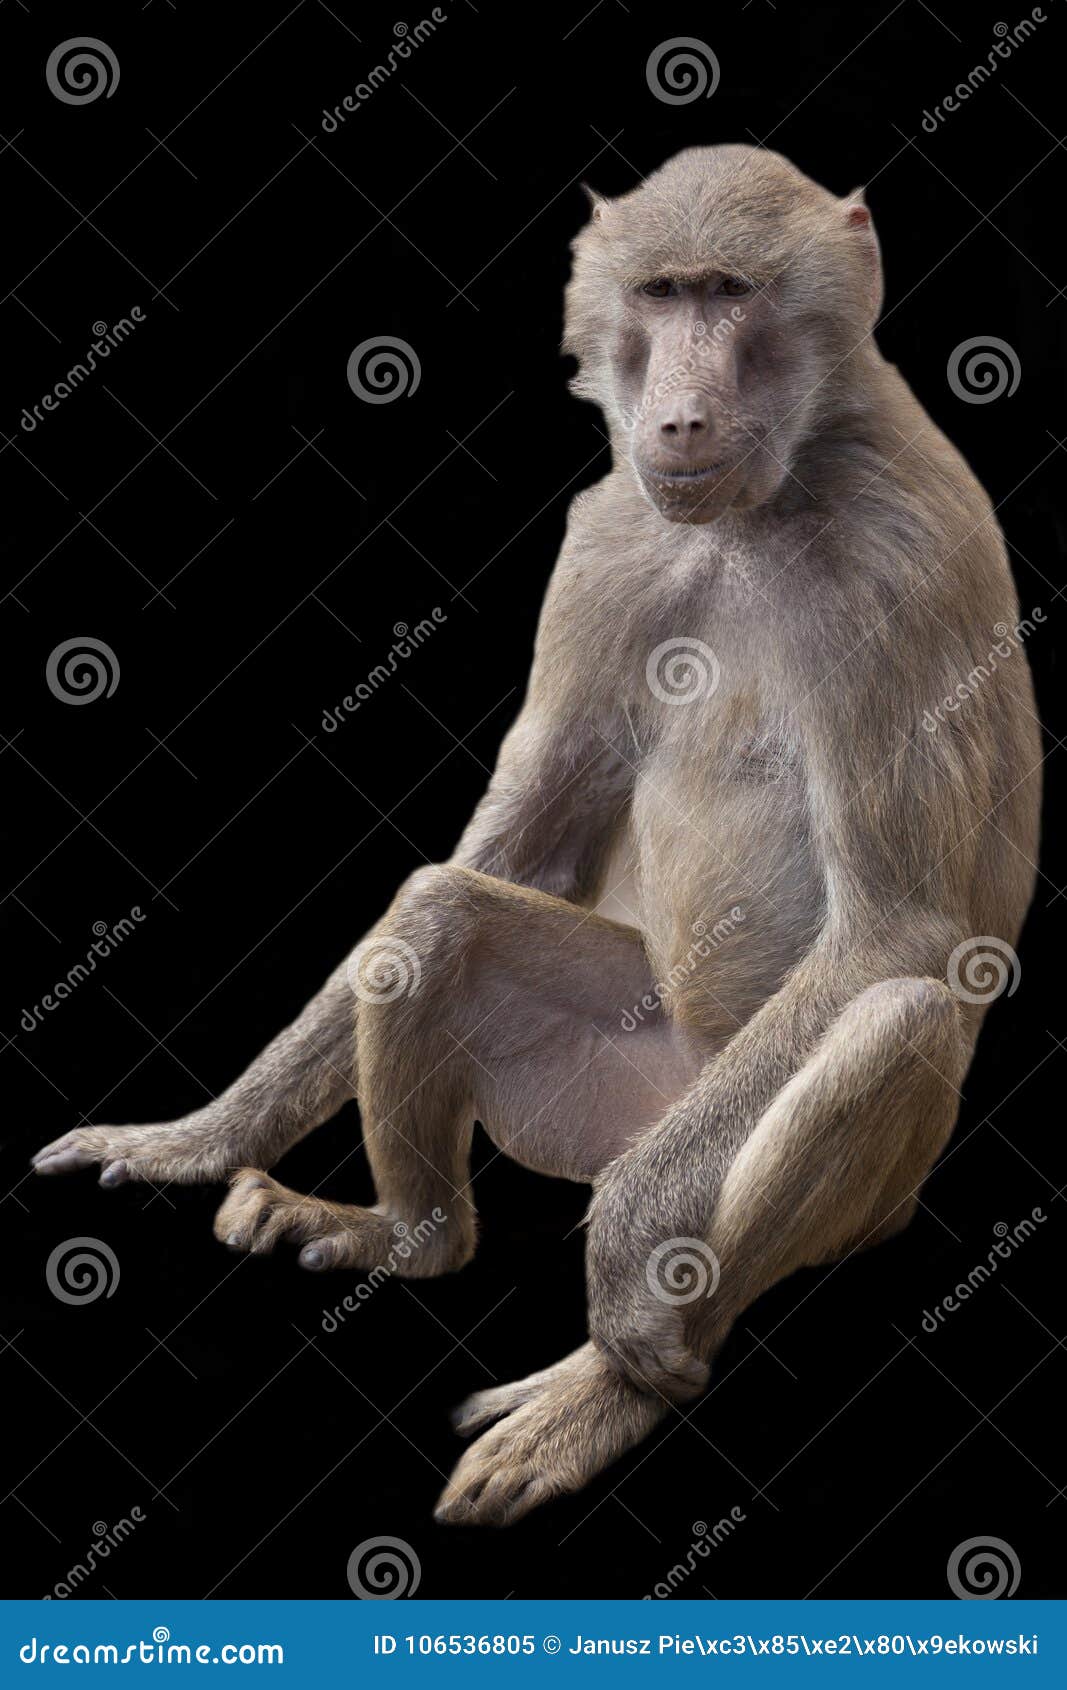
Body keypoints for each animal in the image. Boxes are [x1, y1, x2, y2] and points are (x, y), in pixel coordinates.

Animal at [34, 144, 1041, 1528]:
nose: (677, 419)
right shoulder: (605, 545)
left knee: (892, 1016)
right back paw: (407, 1238)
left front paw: (619, 1270)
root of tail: (676, 1080)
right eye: (664, 294)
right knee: (436, 913)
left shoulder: (896, 568)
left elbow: (898, 928)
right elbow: (510, 848)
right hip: (604, 1076)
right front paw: (194, 1138)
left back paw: (604, 1386)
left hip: (807, 1162)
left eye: (730, 294)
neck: (770, 495)